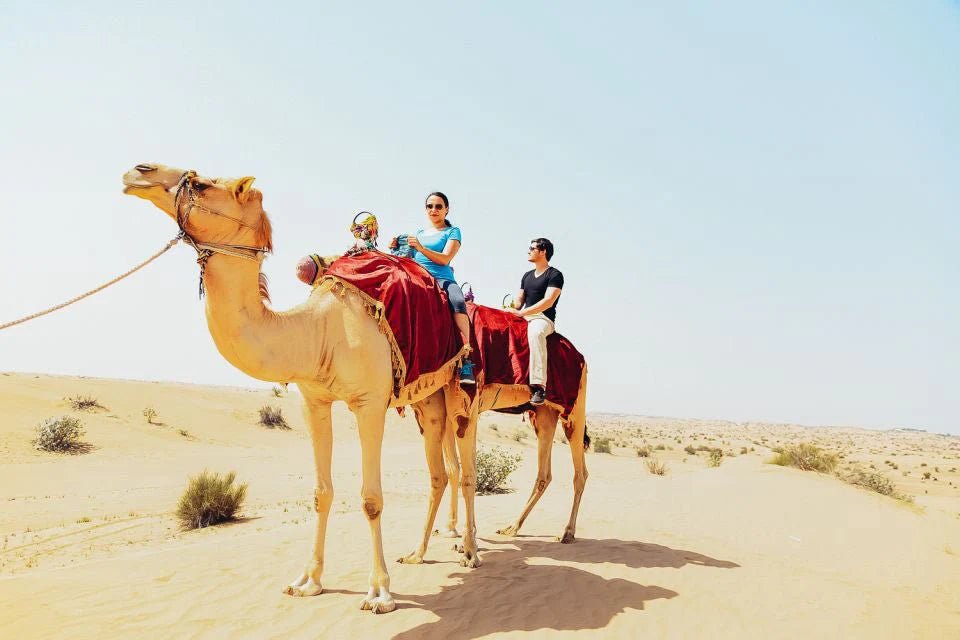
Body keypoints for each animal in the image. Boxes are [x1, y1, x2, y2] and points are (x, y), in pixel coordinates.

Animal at [121, 163, 482, 615]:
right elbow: (321, 493)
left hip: (463, 396)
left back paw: (471, 552)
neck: (320, 331)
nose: (138, 172)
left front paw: (380, 593)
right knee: (440, 473)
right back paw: (418, 553)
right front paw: (308, 581)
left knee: (467, 471)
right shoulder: (315, 401)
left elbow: (371, 499)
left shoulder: (369, 403)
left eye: (200, 183)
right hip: (428, 399)